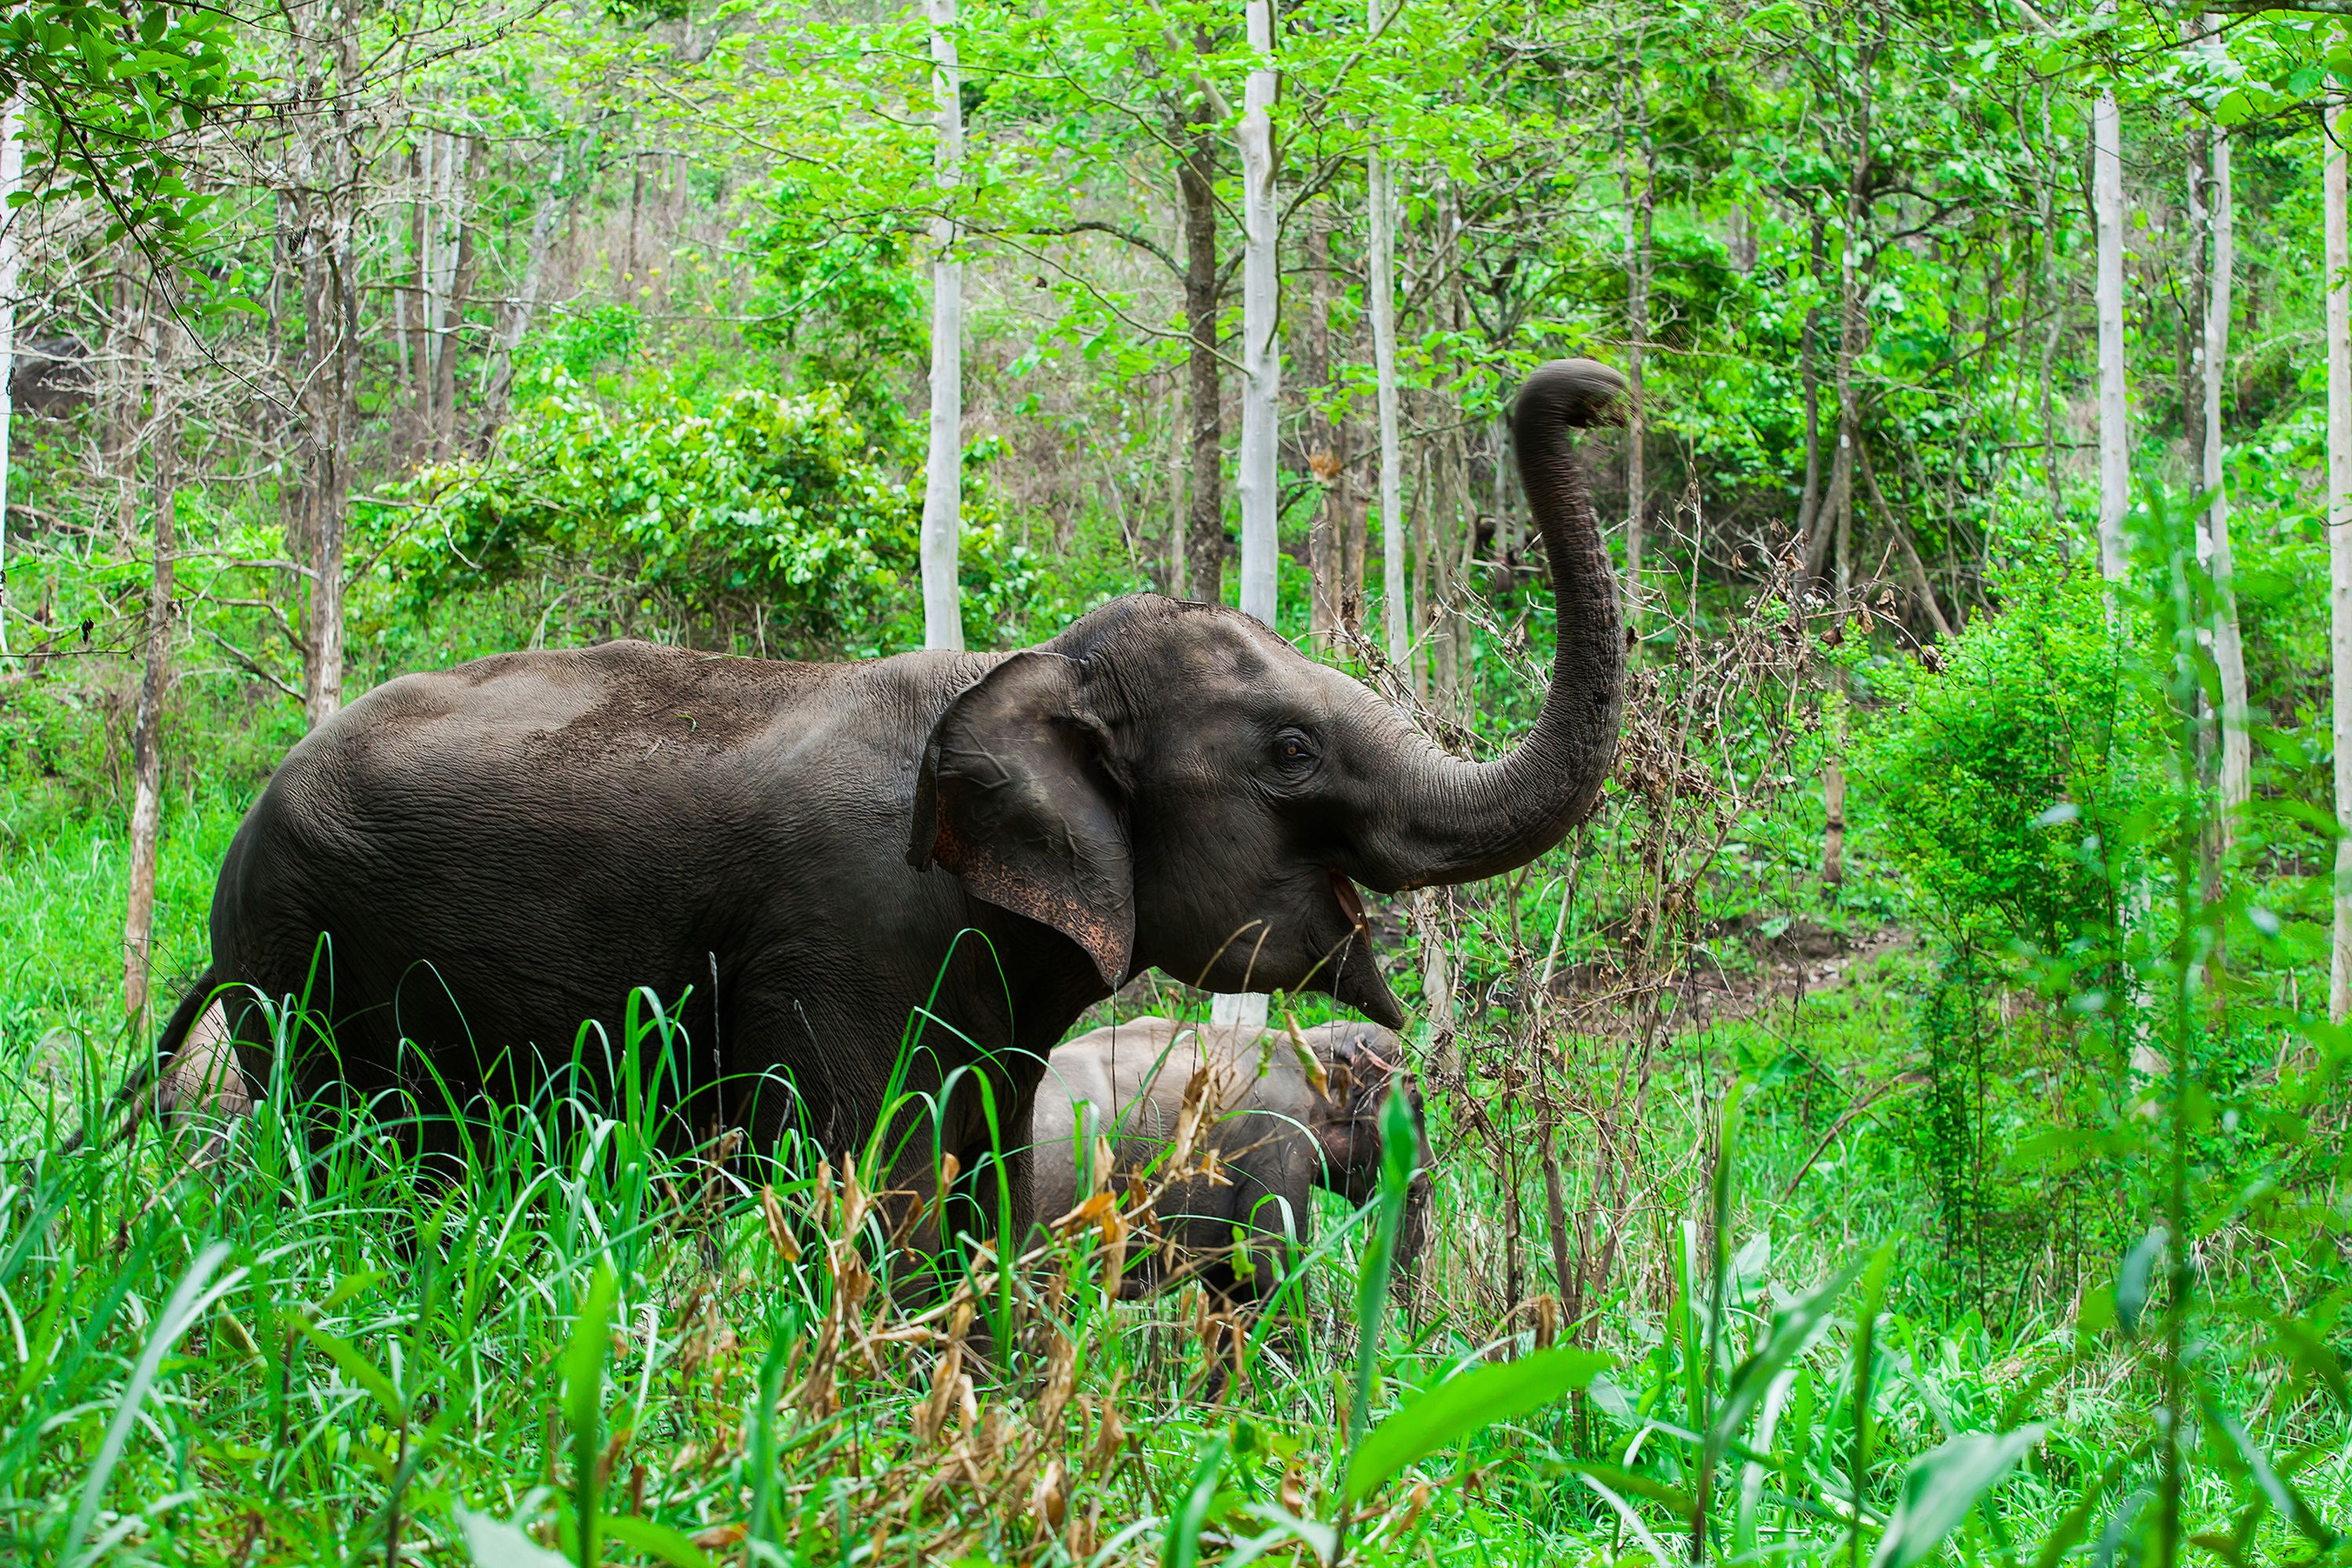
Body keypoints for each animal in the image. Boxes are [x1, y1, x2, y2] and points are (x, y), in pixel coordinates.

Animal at [131, 357, 1625, 1248]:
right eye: (1293, 751)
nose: (1594, 395)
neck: (1020, 669)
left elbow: (982, 1196)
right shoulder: (851, 940)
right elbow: (882, 1192)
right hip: (298, 968)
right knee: (339, 1160)